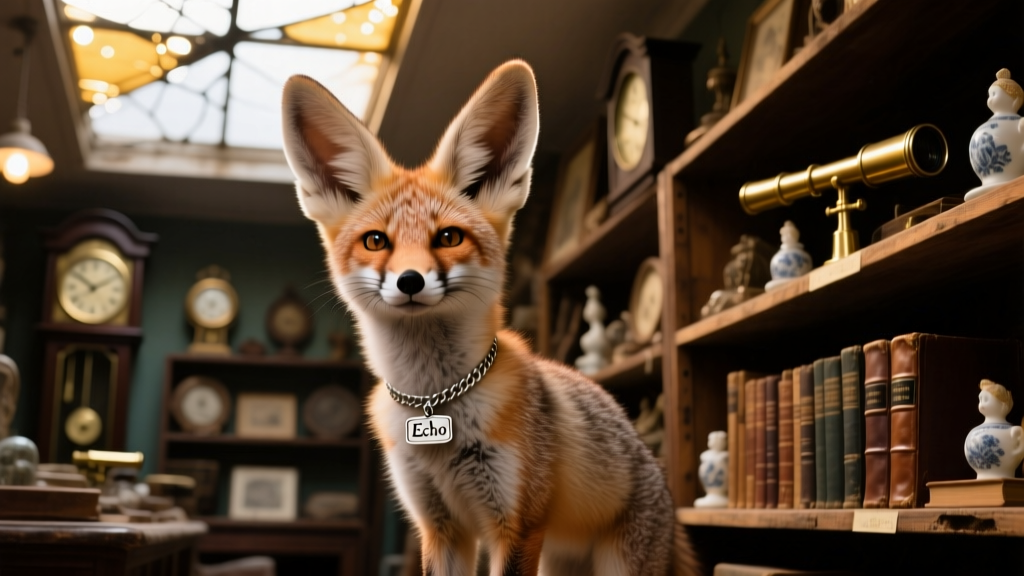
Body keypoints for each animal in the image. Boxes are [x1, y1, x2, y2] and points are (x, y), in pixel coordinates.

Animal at [280, 60, 673, 576]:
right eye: (375, 242)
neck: (436, 401)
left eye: (449, 237)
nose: (410, 281)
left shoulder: (517, 524)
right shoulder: (438, 526)